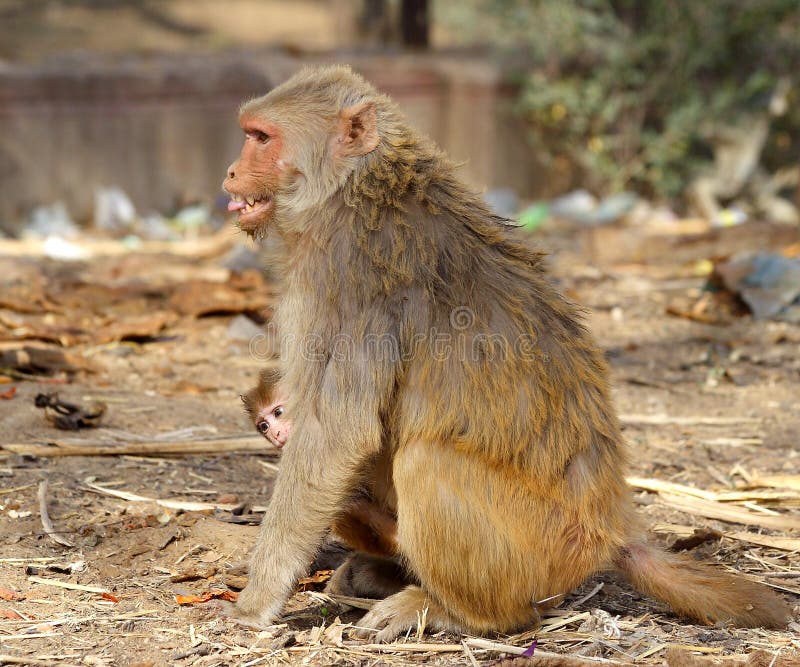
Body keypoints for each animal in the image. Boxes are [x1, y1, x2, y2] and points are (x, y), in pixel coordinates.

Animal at [222, 66, 790, 640]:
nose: (229, 171)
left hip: (539, 551)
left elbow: (336, 434)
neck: (356, 187)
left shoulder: (342, 279)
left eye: (261, 138)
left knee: (426, 463)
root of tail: (610, 530)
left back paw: (456, 611)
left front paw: (255, 603)